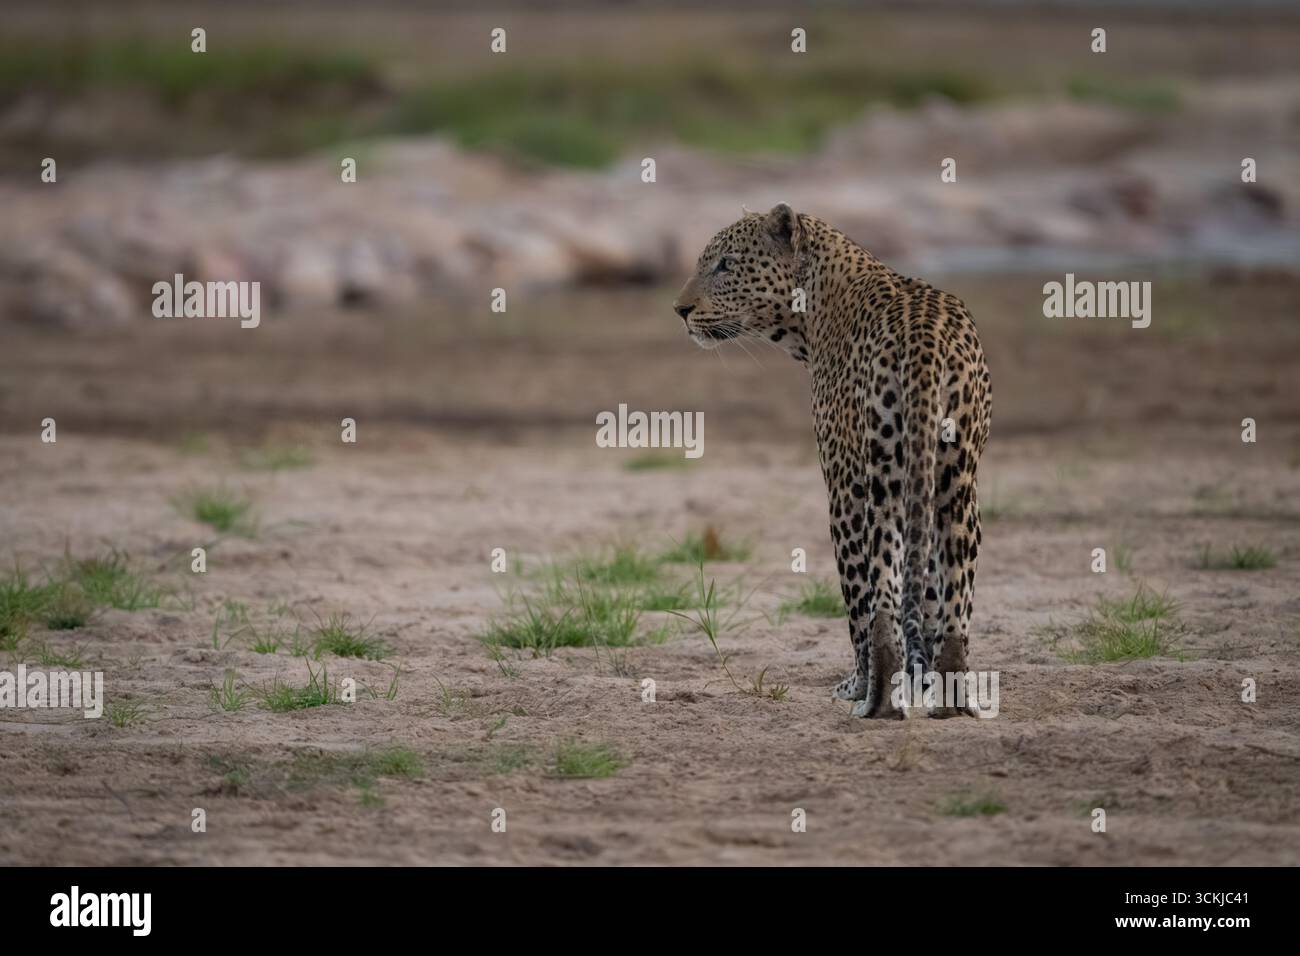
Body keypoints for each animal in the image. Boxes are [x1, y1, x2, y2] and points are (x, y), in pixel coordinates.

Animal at [673, 203, 992, 718]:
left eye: (726, 264)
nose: (680, 310)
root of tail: (924, 343)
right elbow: (929, 594)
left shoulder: (842, 479)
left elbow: (859, 600)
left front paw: (858, 684)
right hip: (956, 481)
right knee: (956, 594)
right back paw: (953, 700)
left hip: (878, 483)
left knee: (878, 596)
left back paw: (876, 700)